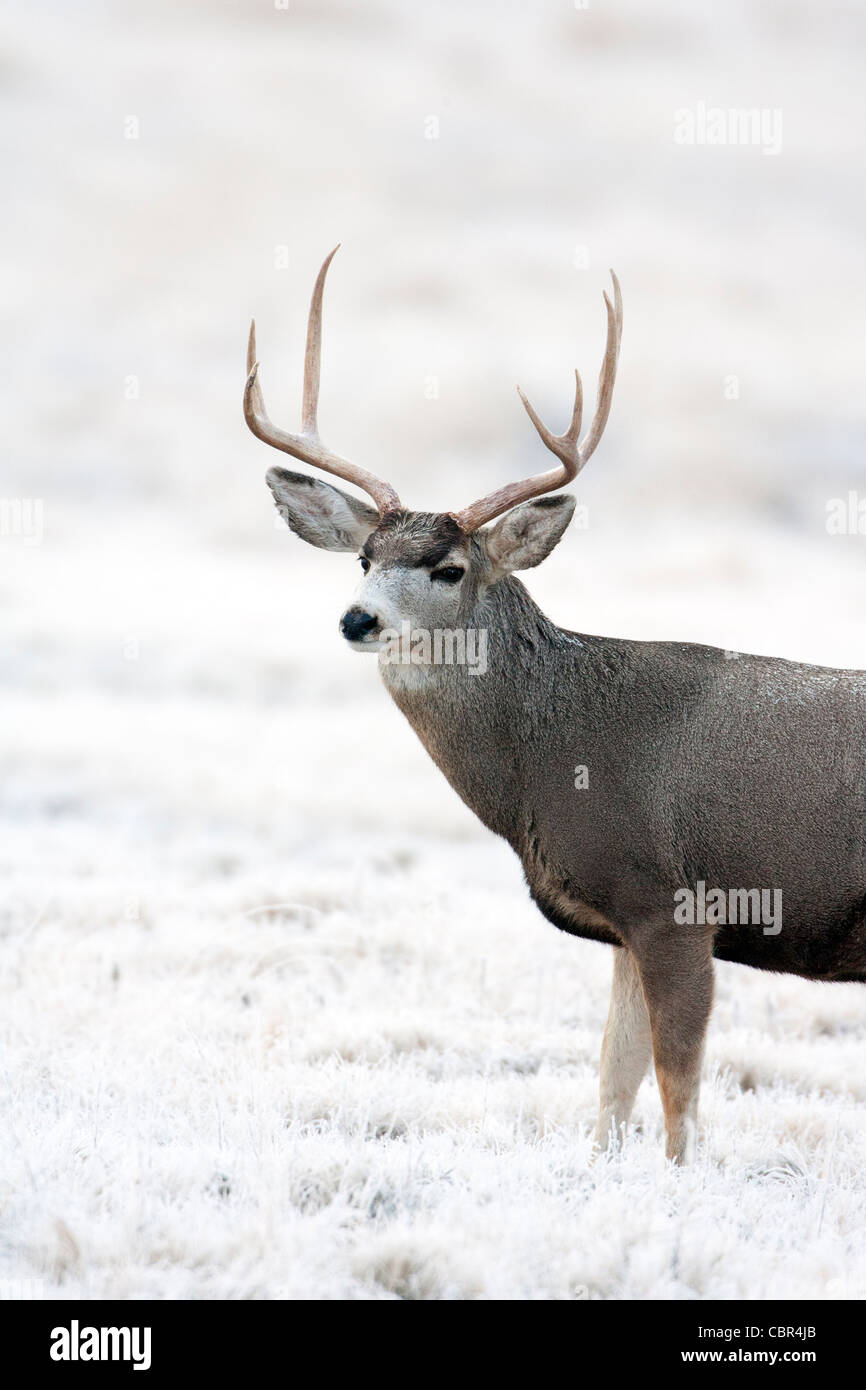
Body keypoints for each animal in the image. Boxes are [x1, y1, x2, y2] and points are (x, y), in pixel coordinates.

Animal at [244, 248, 866, 1163]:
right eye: (363, 556)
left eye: (449, 569)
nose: (359, 619)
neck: (556, 752)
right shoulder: (624, 923)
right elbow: (612, 1081)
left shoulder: (676, 904)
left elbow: (678, 1097)